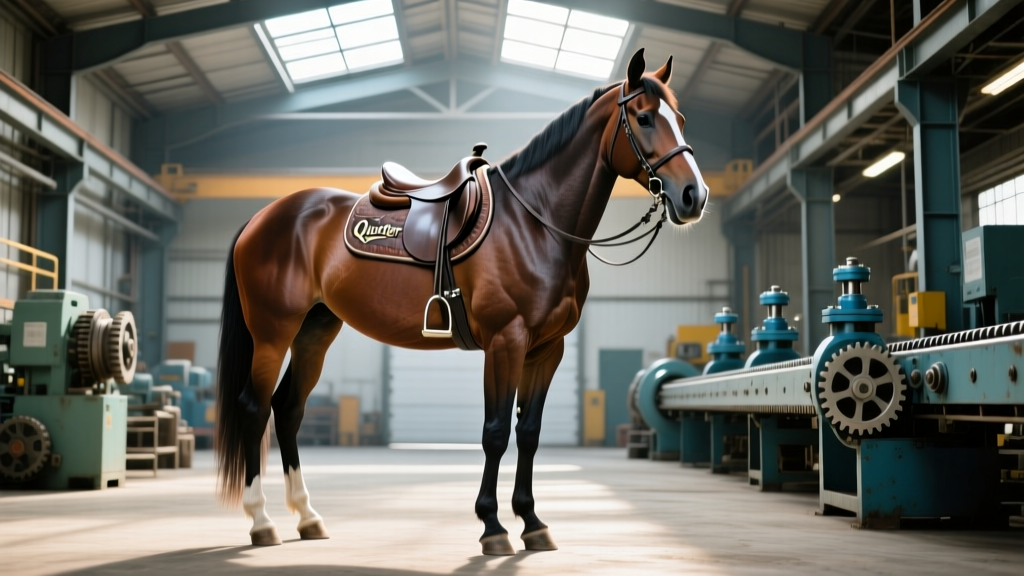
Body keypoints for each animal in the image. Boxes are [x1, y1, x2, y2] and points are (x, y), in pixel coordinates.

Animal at [215, 48, 709, 555]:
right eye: (644, 117)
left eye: (680, 119)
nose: (694, 196)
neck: (534, 223)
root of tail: (264, 215)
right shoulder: (505, 342)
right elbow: (495, 433)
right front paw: (492, 526)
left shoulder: (546, 350)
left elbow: (528, 434)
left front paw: (532, 522)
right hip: (272, 333)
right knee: (255, 409)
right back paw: (261, 522)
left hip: (314, 331)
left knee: (288, 410)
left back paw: (307, 517)